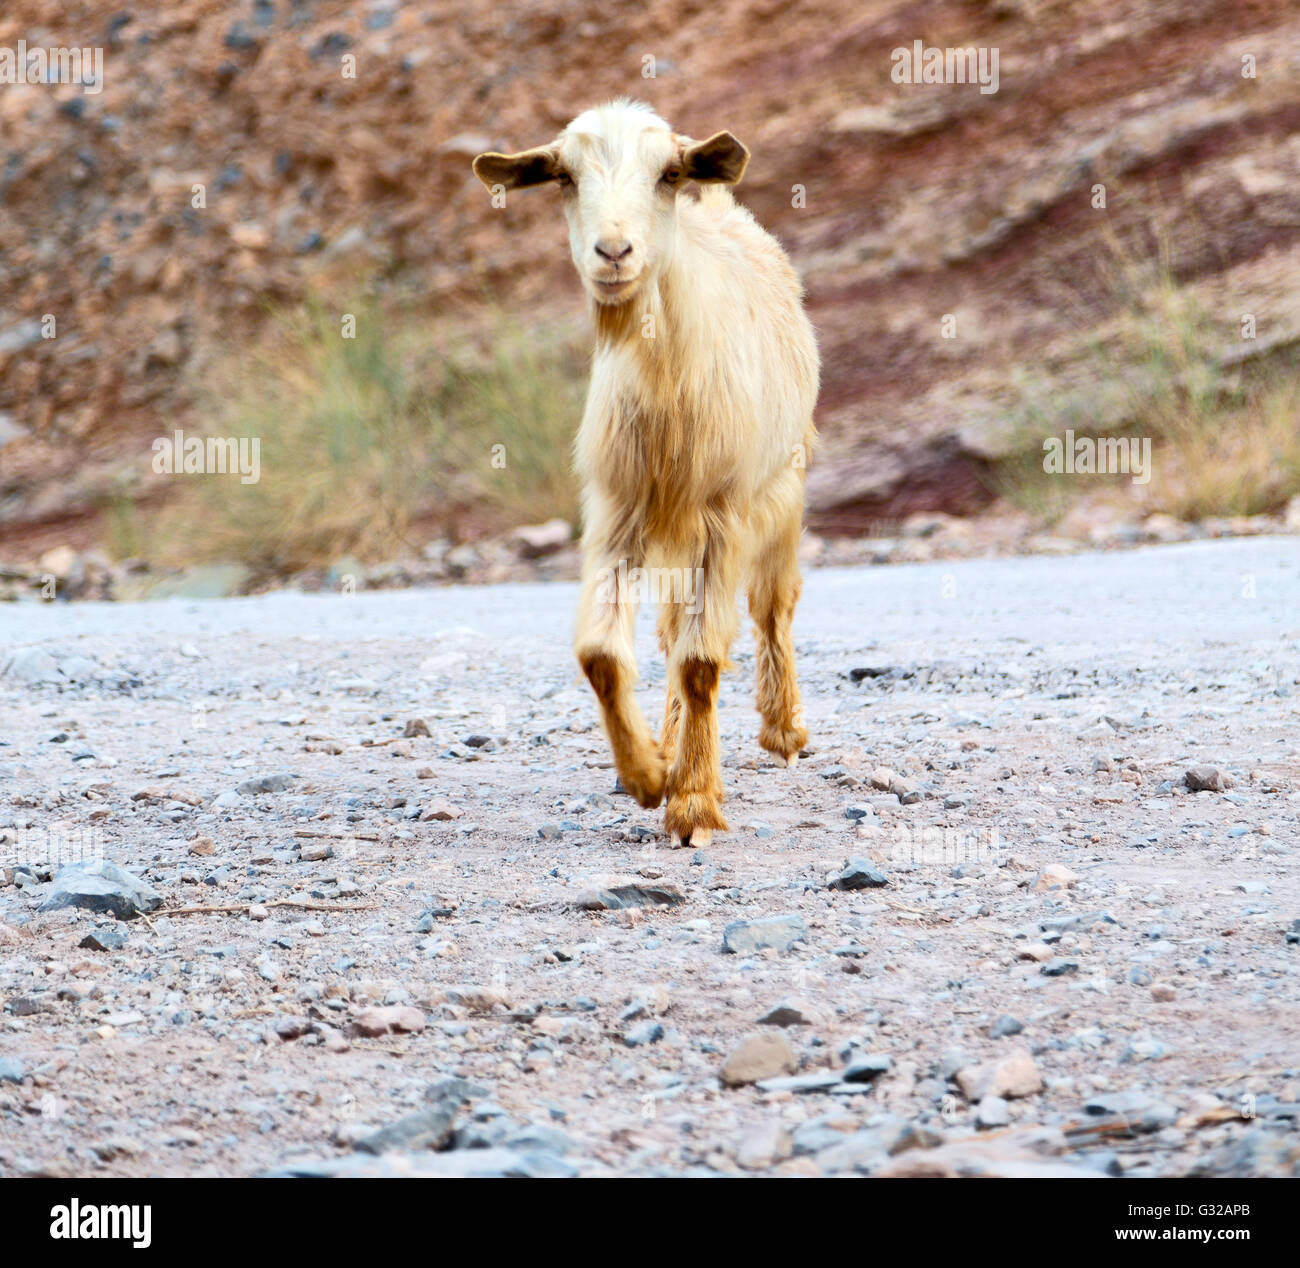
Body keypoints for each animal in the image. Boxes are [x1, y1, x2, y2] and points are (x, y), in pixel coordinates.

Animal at [473, 100, 819, 846]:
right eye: (564, 177)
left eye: (667, 173)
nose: (613, 252)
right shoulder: (615, 512)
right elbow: (603, 654)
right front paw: (649, 777)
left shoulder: (724, 514)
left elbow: (703, 661)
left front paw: (692, 804)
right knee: (670, 633)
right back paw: (669, 738)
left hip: (784, 489)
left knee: (771, 608)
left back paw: (784, 732)